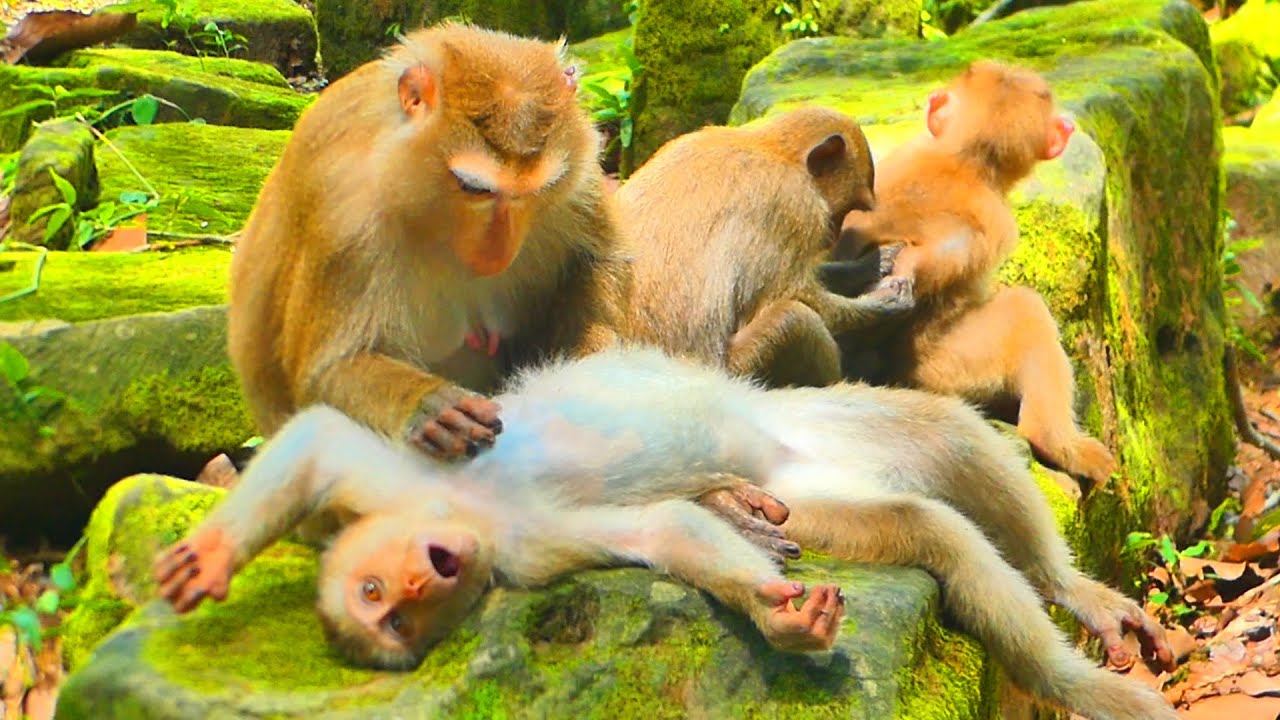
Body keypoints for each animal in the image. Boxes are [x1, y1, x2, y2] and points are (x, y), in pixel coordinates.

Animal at [155, 347, 1176, 720]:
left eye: (378, 595)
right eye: (391, 624)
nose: (416, 587)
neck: (470, 524)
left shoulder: (406, 488)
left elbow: (317, 441)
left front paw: (209, 554)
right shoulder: (529, 557)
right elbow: (660, 530)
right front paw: (781, 618)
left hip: (800, 411)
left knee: (956, 436)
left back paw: (1075, 606)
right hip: (810, 481)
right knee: (929, 526)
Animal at [227, 22, 627, 461]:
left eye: (539, 191)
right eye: (474, 188)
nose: (495, 256)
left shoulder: (580, 184)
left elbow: (598, 261)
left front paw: (596, 358)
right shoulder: (344, 213)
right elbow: (324, 373)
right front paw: (426, 405)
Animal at [610, 106, 914, 388]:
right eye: (845, 209)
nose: (832, 236)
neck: (774, 151)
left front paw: (869, 264)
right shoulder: (795, 204)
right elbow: (787, 293)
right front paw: (882, 303)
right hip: (738, 370)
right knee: (795, 318)